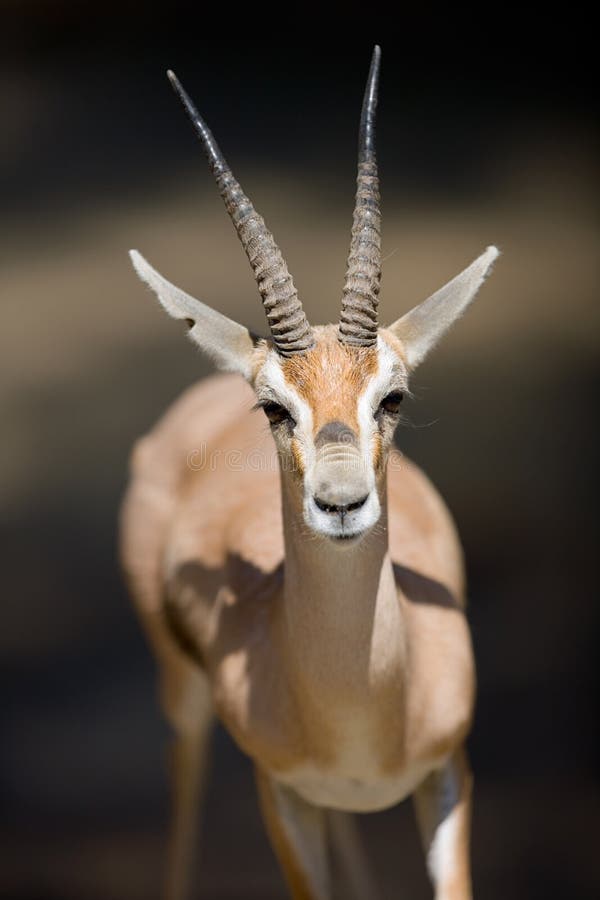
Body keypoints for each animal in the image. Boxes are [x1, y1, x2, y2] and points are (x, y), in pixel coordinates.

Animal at [121, 46, 498, 900]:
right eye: (272, 407)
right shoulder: (281, 795)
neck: (359, 711)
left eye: (392, 395)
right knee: (180, 769)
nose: (341, 503)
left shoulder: (449, 775)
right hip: (182, 695)